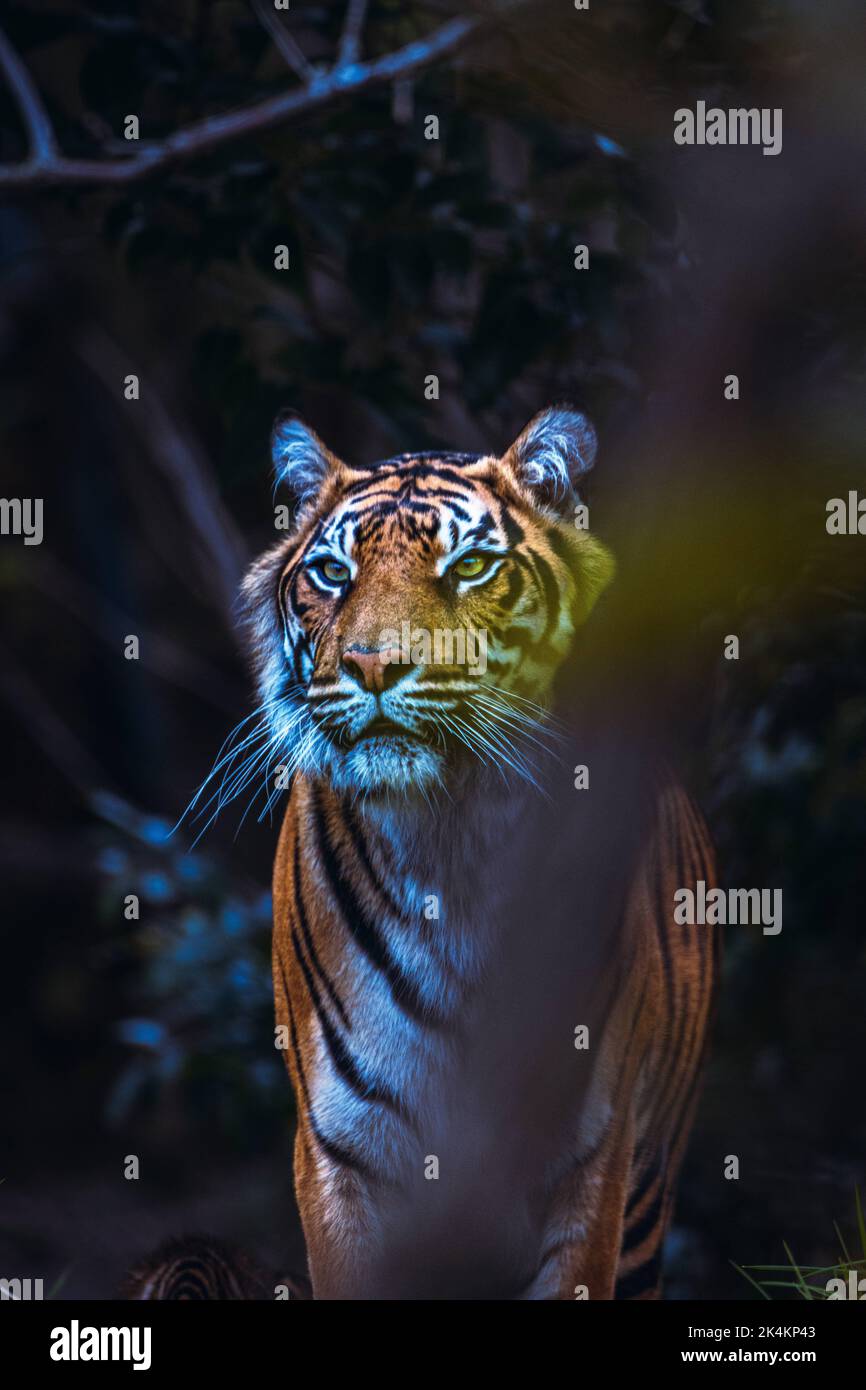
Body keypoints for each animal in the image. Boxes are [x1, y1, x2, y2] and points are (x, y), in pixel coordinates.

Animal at [235, 405, 720, 1300]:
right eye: (331, 573)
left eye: (470, 566)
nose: (372, 665)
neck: (447, 837)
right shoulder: (339, 1153)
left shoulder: (592, 1152)